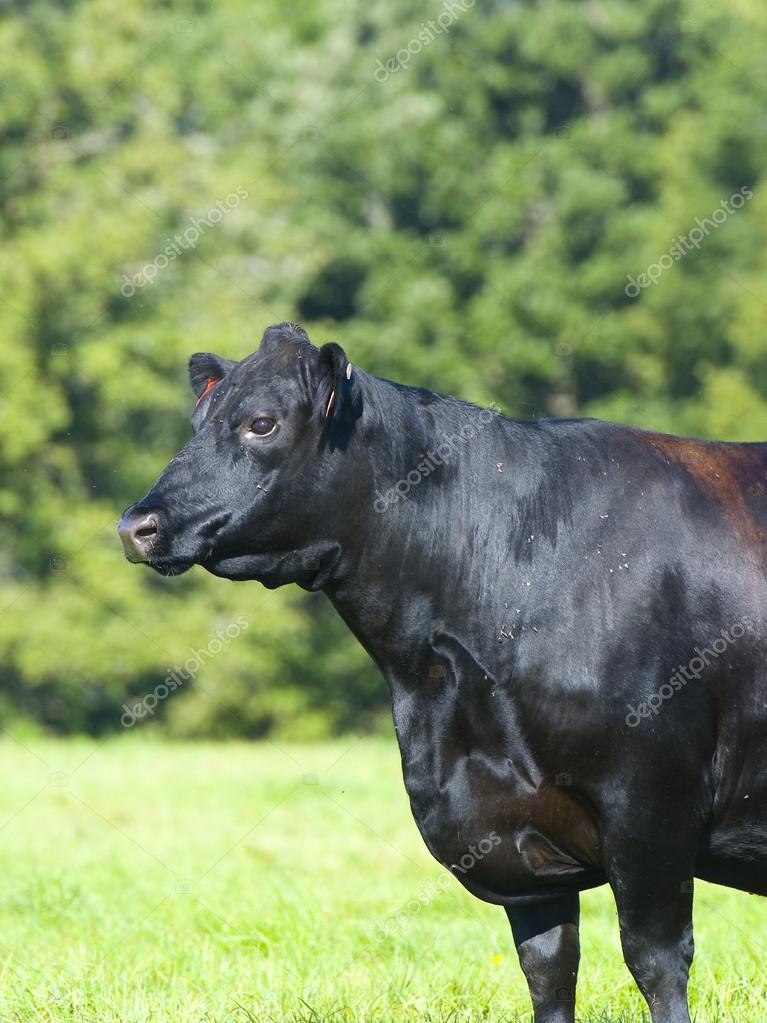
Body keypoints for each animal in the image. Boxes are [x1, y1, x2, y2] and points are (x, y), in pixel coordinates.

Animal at [118, 321, 767, 1023]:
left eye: (261, 423)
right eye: (199, 418)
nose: (135, 526)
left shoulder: (652, 806)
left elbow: (655, 962)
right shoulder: (512, 841)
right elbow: (548, 972)